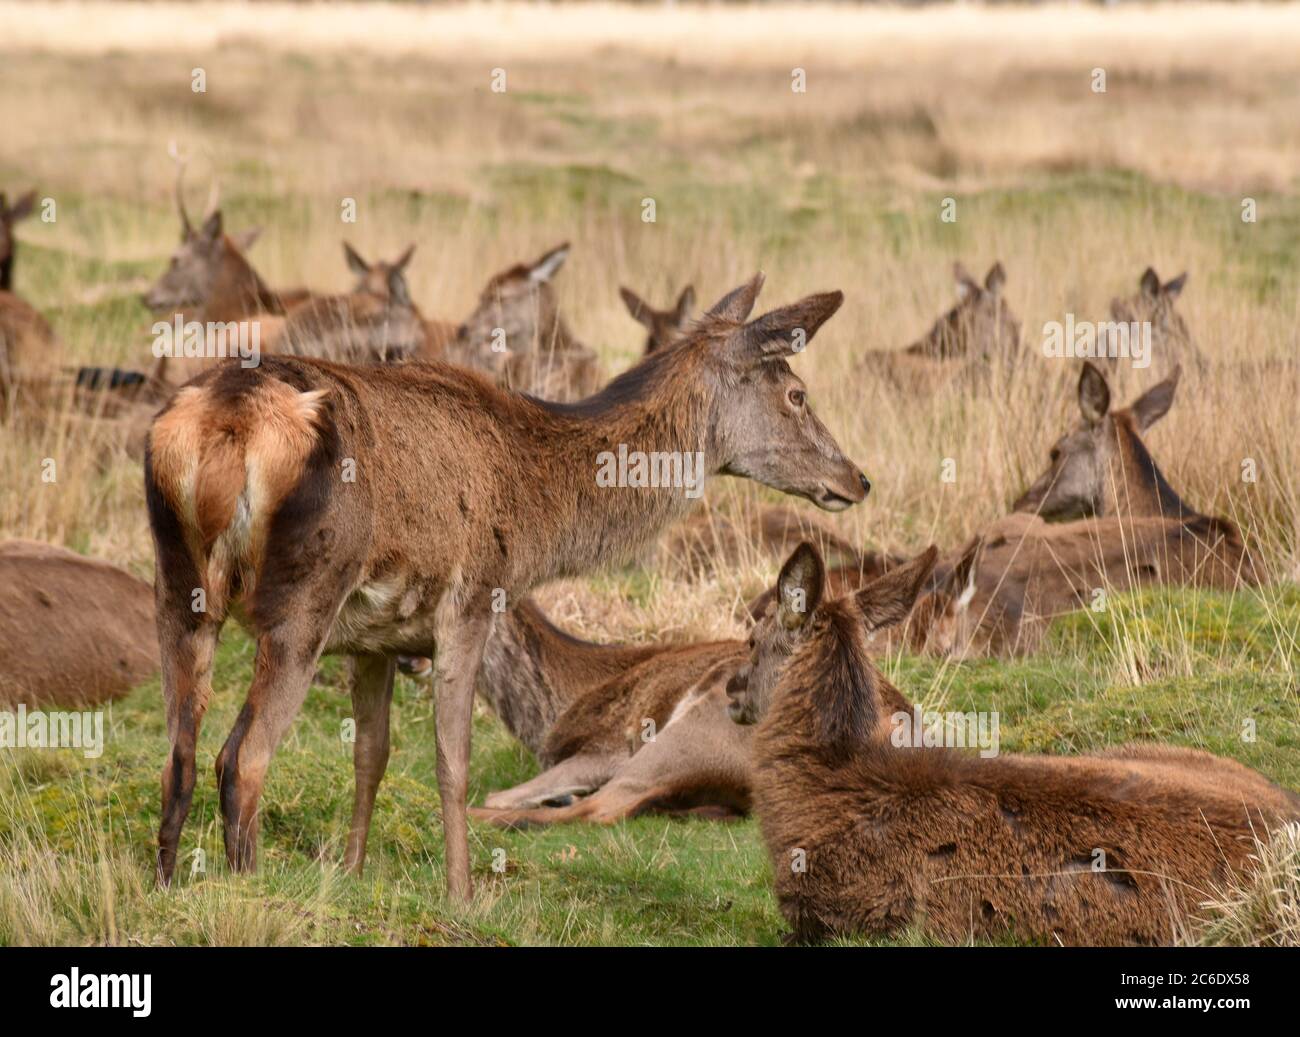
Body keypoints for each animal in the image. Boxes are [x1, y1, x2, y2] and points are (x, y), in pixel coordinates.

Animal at [144, 273, 870, 899]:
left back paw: (166, 884)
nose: (857, 478)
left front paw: (349, 873)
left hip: (178, 585)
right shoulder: (471, 600)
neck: (537, 513)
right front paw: (463, 895)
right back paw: (247, 884)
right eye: (797, 394)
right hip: (305, 595)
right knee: (242, 756)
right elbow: (451, 761)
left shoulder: (374, 639)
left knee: (179, 751)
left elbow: (372, 754)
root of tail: (224, 422)